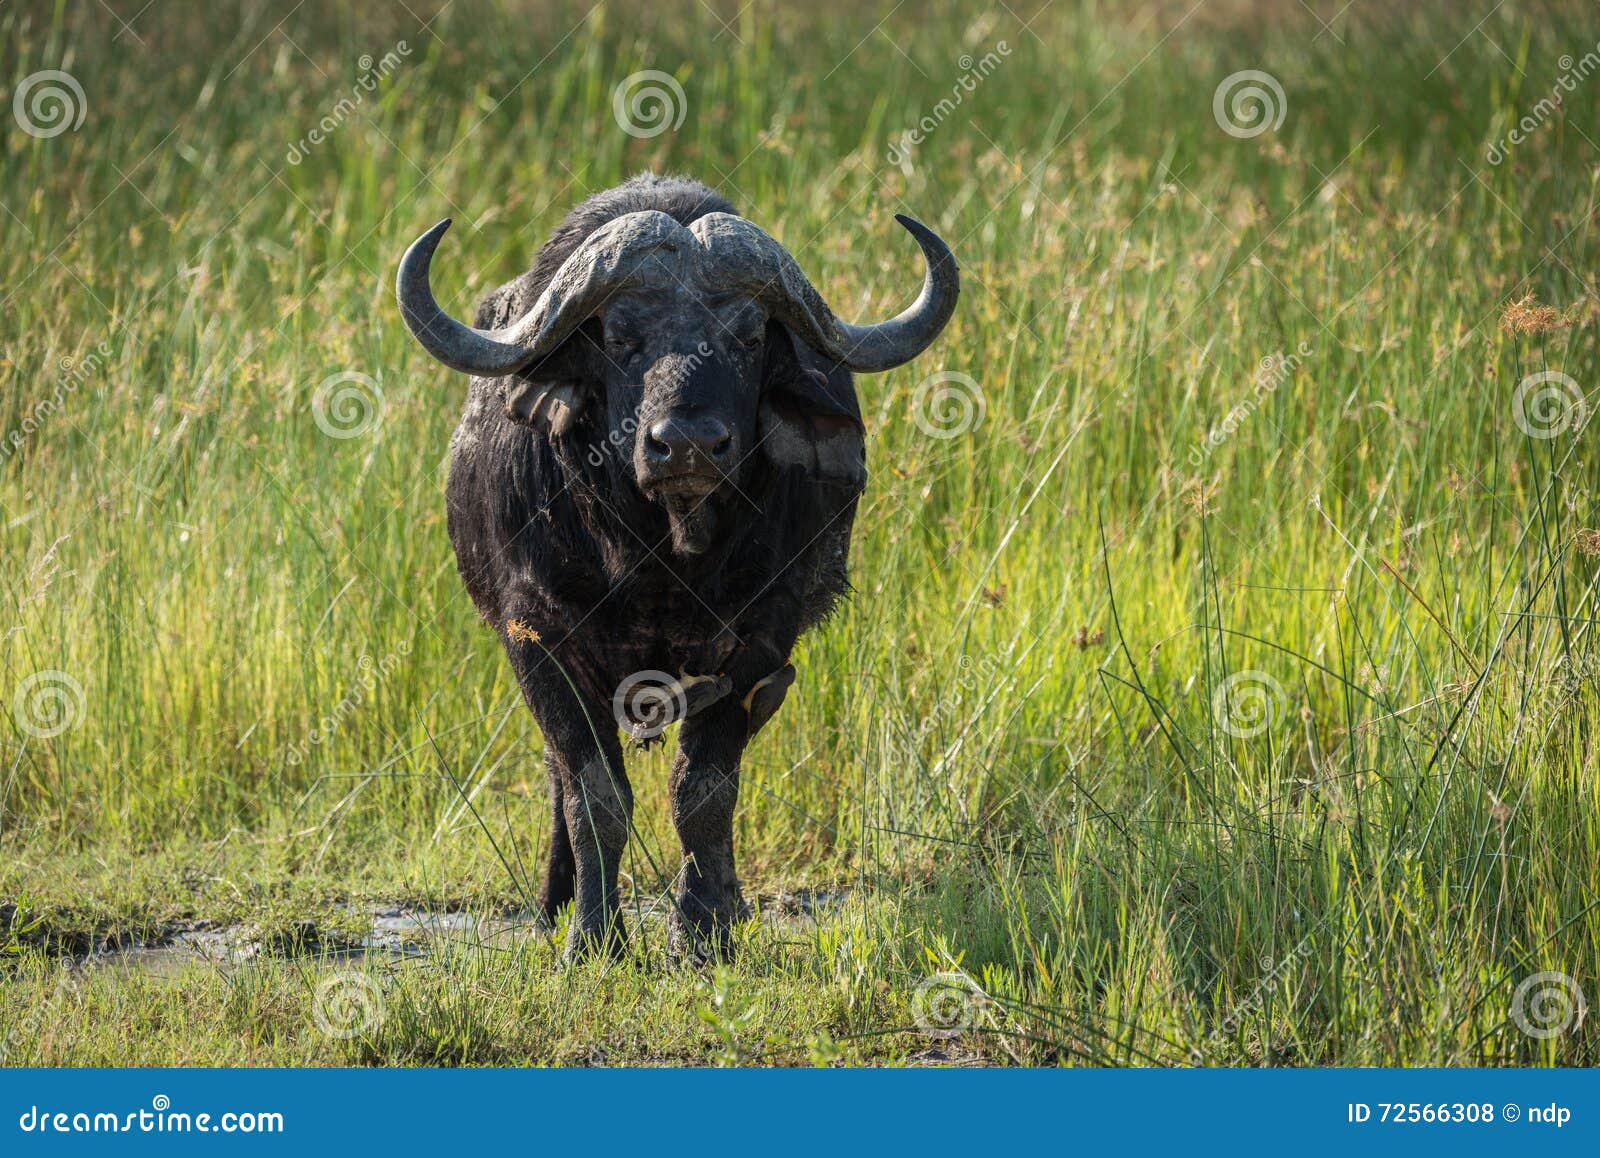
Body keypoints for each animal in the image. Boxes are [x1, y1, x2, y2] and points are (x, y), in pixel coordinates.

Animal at [396, 173, 958, 962]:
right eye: (620, 338)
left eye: (748, 337)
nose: (688, 444)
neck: (660, 559)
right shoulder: (536, 636)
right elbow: (594, 794)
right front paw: (593, 938)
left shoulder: (762, 637)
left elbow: (704, 792)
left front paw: (703, 932)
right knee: (558, 778)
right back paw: (553, 906)